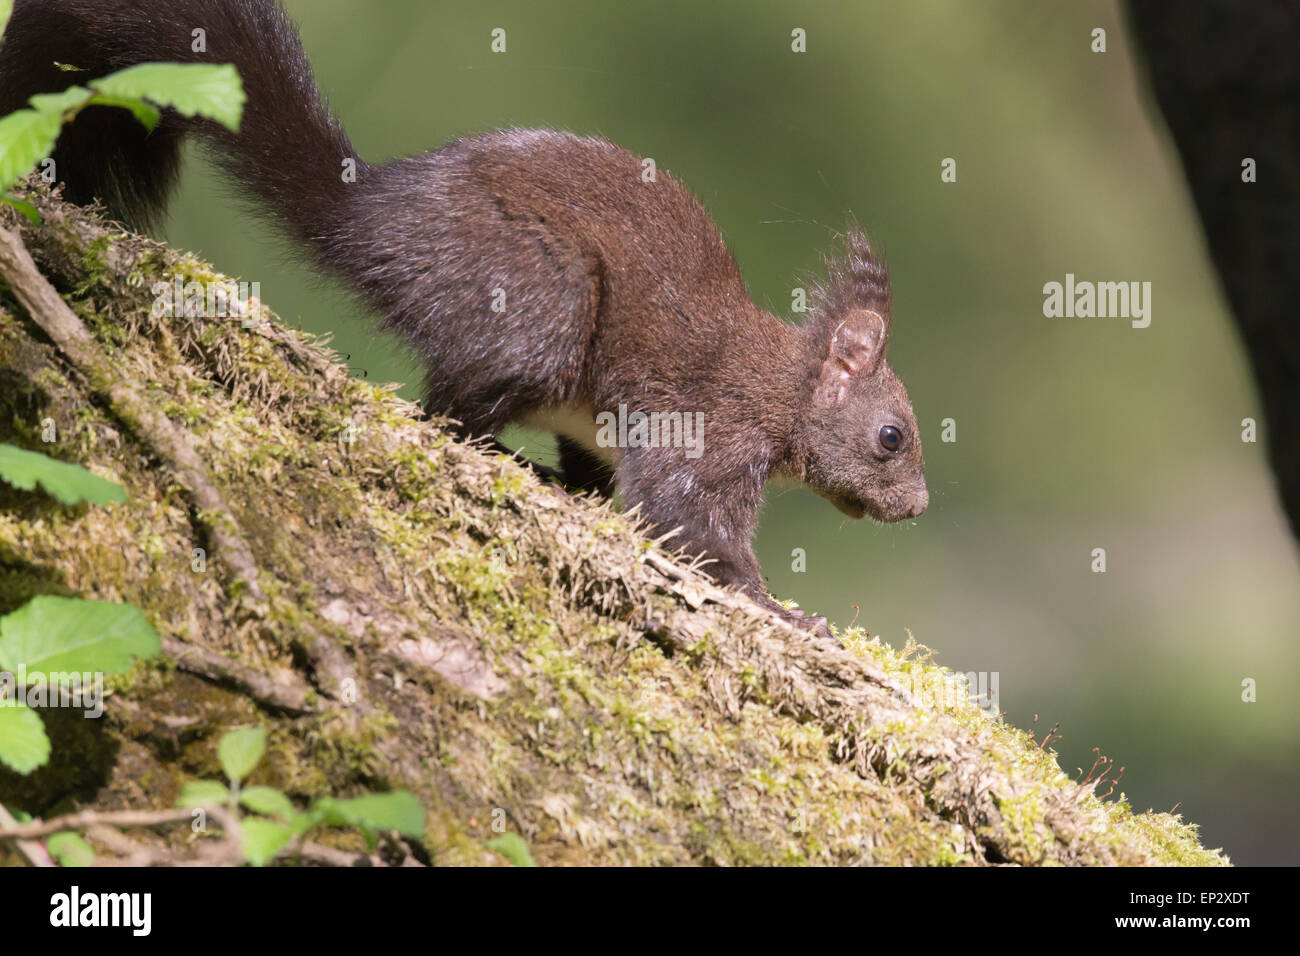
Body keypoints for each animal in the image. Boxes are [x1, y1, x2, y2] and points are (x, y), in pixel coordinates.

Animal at [0, 0, 928, 638]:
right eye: (892, 436)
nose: (917, 508)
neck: (785, 383)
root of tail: (372, 221)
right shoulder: (709, 426)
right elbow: (691, 519)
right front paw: (779, 607)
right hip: (540, 300)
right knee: (445, 408)